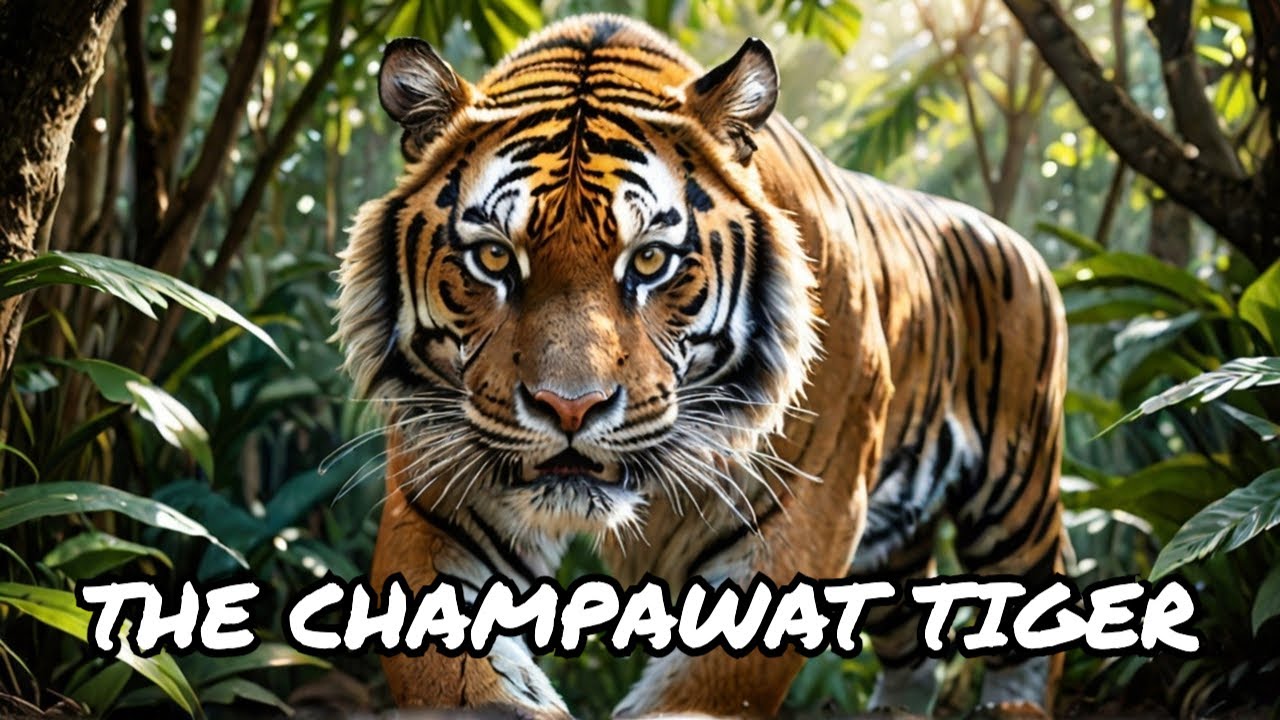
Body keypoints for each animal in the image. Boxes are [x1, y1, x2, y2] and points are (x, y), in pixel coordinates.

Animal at [334, 13, 1067, 719]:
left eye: (650, 260)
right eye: (493, 257)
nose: (570, 408)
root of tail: (1015, 238)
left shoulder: (806, 507)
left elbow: (718, 683)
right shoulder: (440, 503)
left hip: (1015, 497)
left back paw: (1014, 707)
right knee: (913, 648)